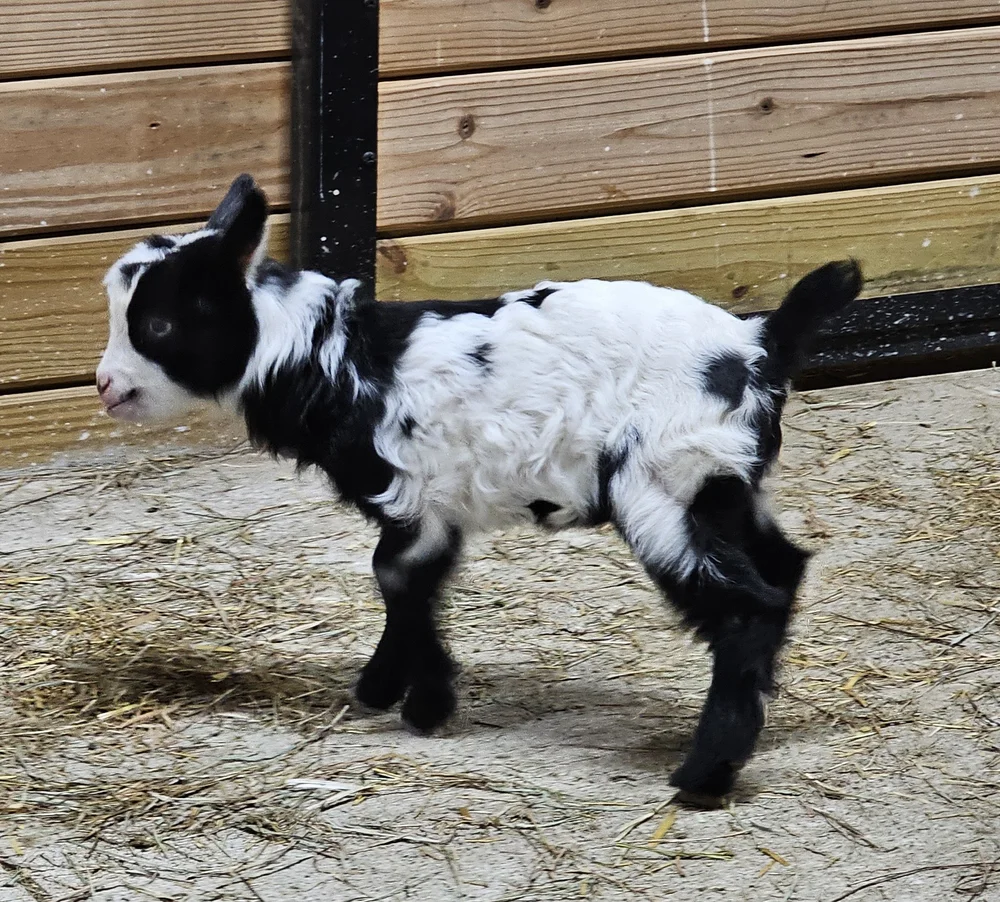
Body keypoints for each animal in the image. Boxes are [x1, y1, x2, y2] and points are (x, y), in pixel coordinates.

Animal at [96, 174, 863, 799]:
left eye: (159, 323)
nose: (106, 386)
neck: (329, 358)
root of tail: (760, 344)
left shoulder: (414, 496)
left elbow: (398, 580)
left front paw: (425, 704)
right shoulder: (431, 506)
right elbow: (409, 583)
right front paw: (385, 687)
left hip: (660, 486)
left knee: (746, 607)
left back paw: (705, 774)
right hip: (724, 483)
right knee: (785, 568)